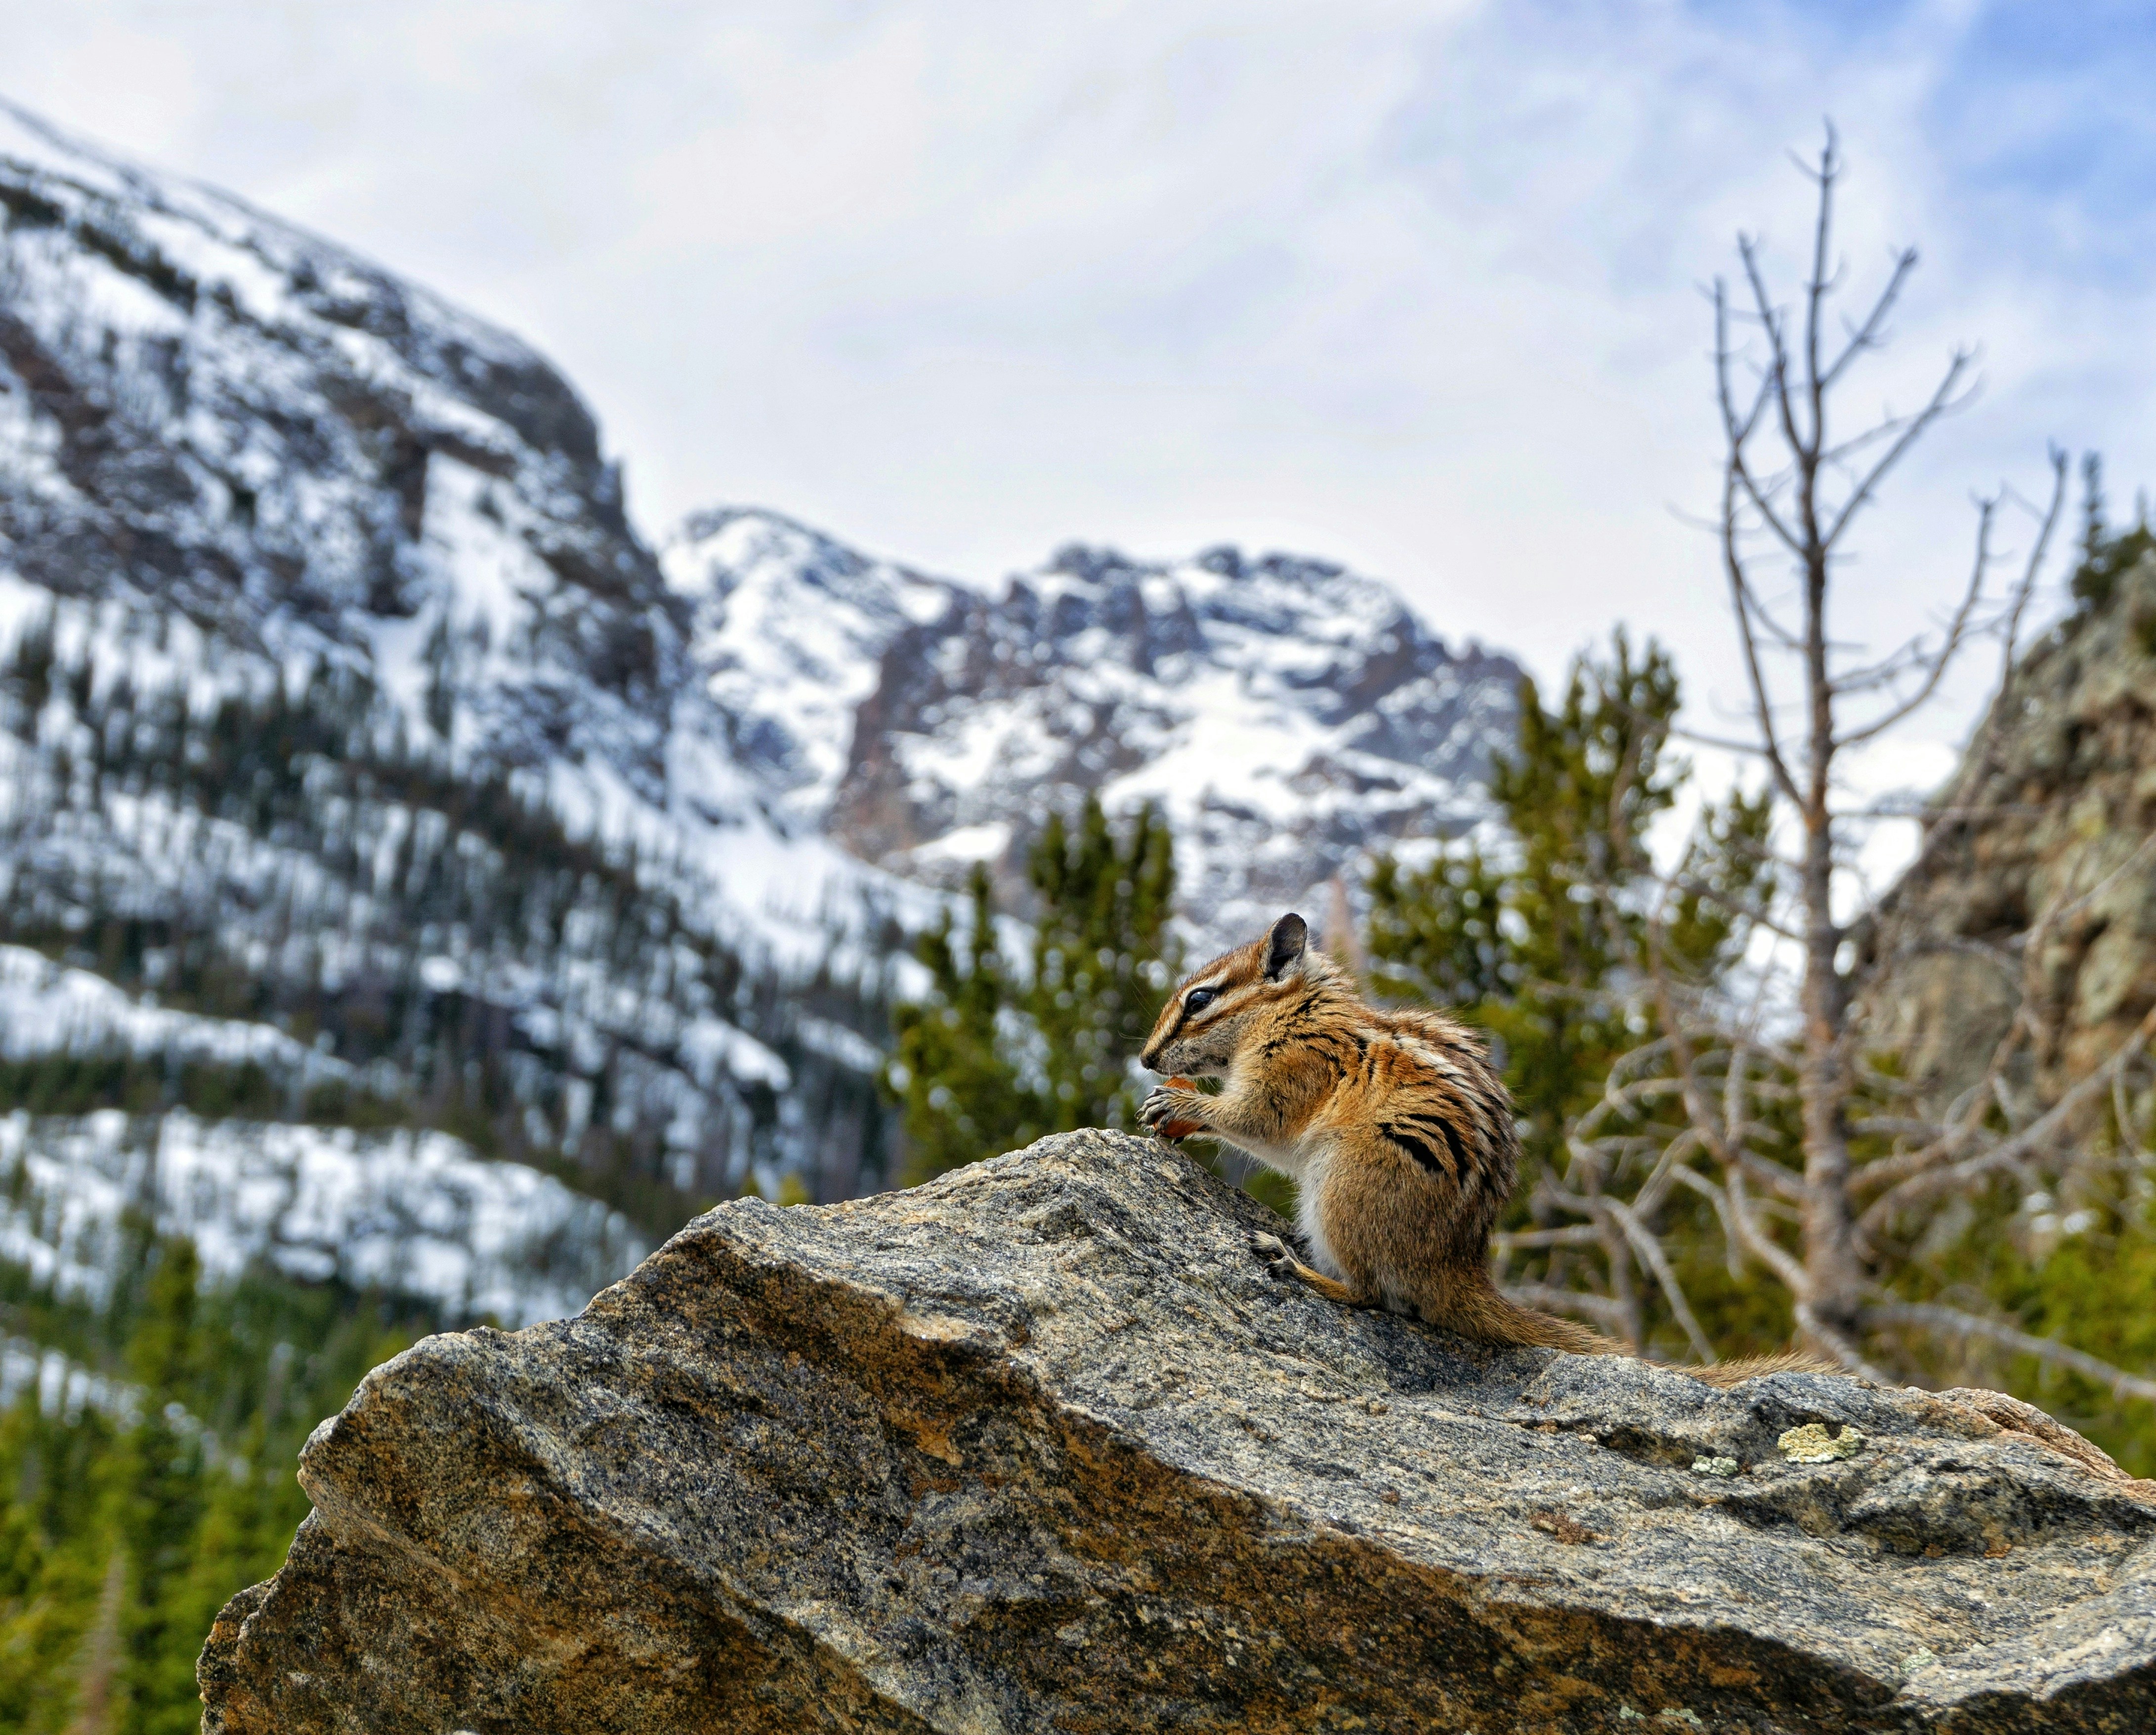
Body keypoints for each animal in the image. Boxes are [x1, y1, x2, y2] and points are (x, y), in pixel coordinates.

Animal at [1137, 911, 1830, 1387]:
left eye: (1199, 998)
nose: (1144, 1058)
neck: (1292, 1009)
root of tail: (1458, 1265)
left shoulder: (1292, 1071)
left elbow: (1256, 1120)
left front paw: (1182, 1107)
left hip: (1343, 1186)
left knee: (1372, 1295)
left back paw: (1293, 1263)